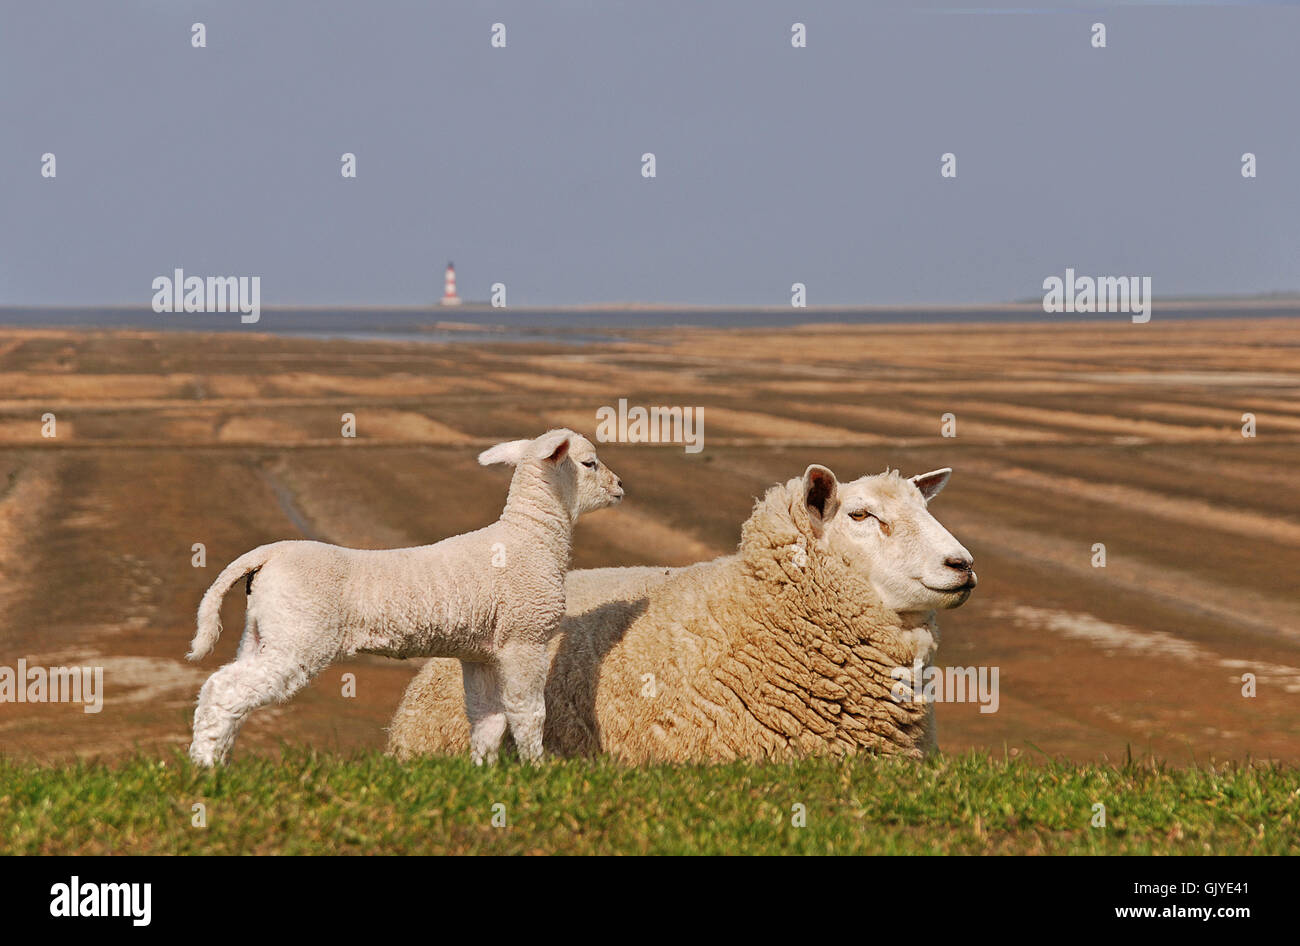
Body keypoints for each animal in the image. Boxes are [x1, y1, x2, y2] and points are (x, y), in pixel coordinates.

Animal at [187, 428, 623, 767]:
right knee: (225, 689)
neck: (530, 538)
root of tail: (266, 555)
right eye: (589, 464)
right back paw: (205, 767)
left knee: (224, 687)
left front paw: (483, 772)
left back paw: (213, 760)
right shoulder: (524, 638)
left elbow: (487, 717)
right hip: (298, 635)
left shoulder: (481, 654)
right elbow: (528, 712)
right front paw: (536, 769)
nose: (620, 487)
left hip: (262, 631)